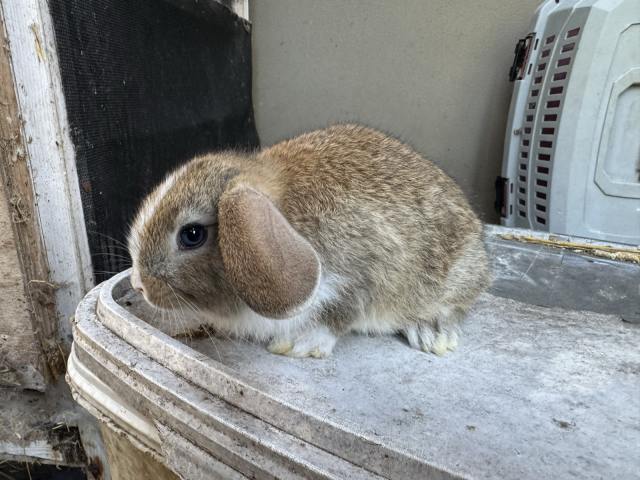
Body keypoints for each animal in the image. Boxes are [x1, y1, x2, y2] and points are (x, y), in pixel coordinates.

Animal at [128, 124, 490, 358]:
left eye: (192, 235)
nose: (138, 285)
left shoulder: (355, 277)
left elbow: (339, 315)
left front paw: (300, 345)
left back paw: (431, 333)